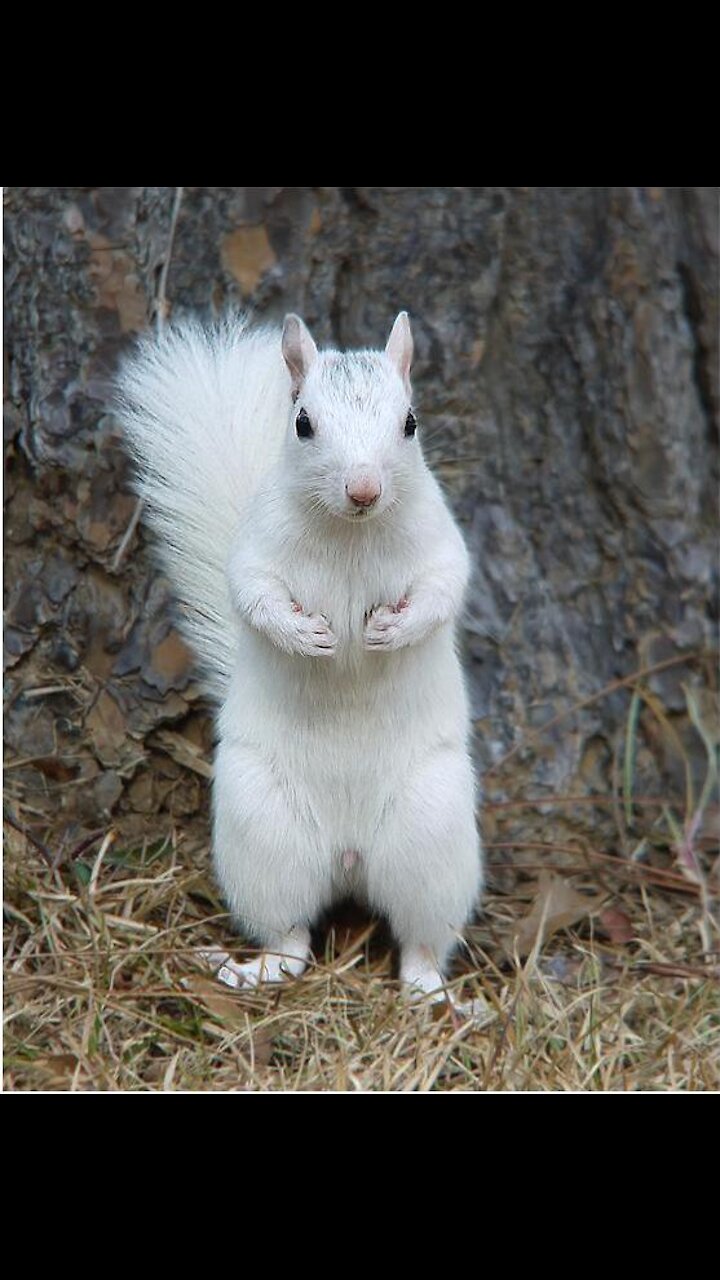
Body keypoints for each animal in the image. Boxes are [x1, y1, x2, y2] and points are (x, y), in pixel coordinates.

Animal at [118, 312, 483, 1000]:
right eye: (303, 423)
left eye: (410, 422)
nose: (363, 489)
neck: (351, 532)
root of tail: (349, 857)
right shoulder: (256, 552)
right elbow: (255, 597)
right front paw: (305, 636)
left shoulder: (442, 546)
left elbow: (441, 592)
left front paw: (390, 631)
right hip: (265, 831)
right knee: (290, 938)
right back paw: (251, 969)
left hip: (432, 831)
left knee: (421, 940)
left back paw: (435, 992)